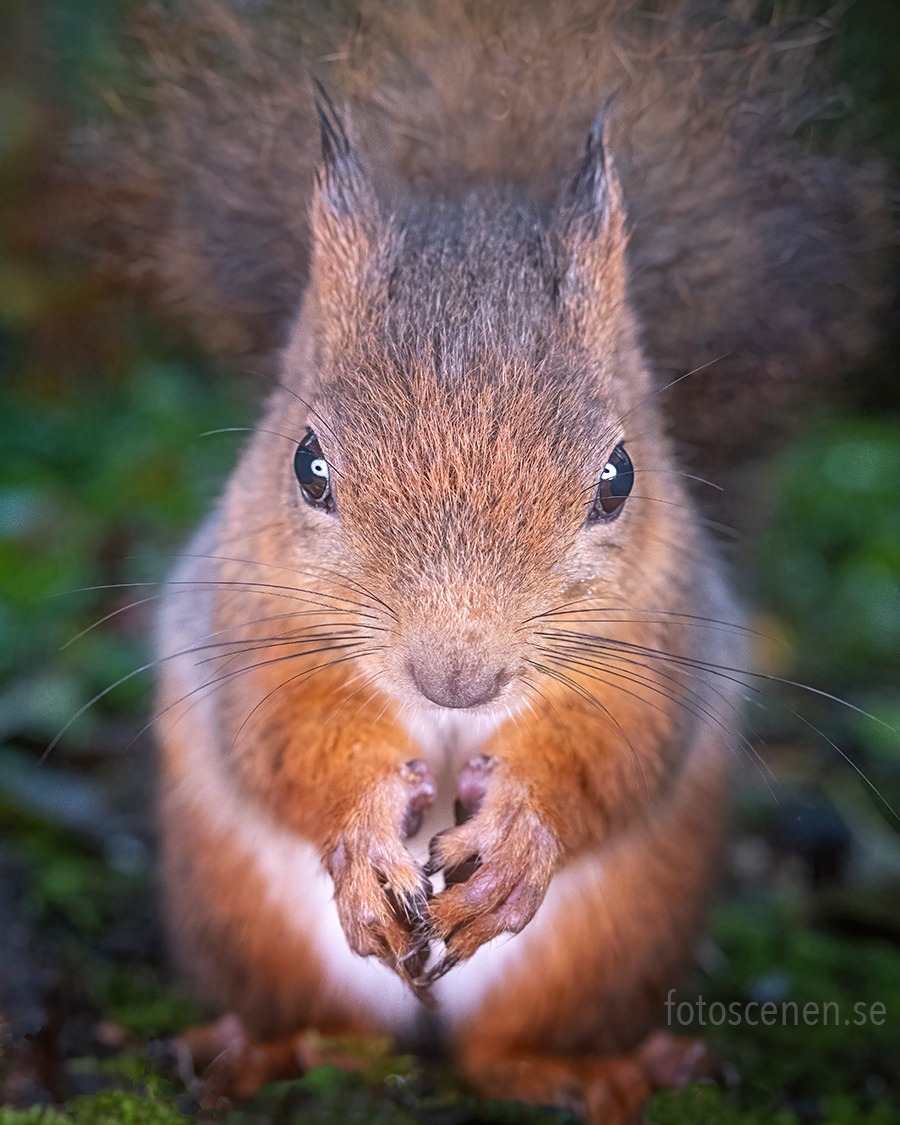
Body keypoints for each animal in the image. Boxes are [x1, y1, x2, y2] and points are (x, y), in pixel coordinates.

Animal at [106, 0, 892, 1120]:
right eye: (307, 466)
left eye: (619, 477)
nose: (457, 676)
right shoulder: (251, 624)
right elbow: (282, 736)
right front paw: (362, 826)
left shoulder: (657, 634)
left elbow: (615, 747)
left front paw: (522, 832)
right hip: (246, 919)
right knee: (336, 1029)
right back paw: (268, 1049)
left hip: (607, 942)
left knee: (496, 1051)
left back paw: (586, 1069)